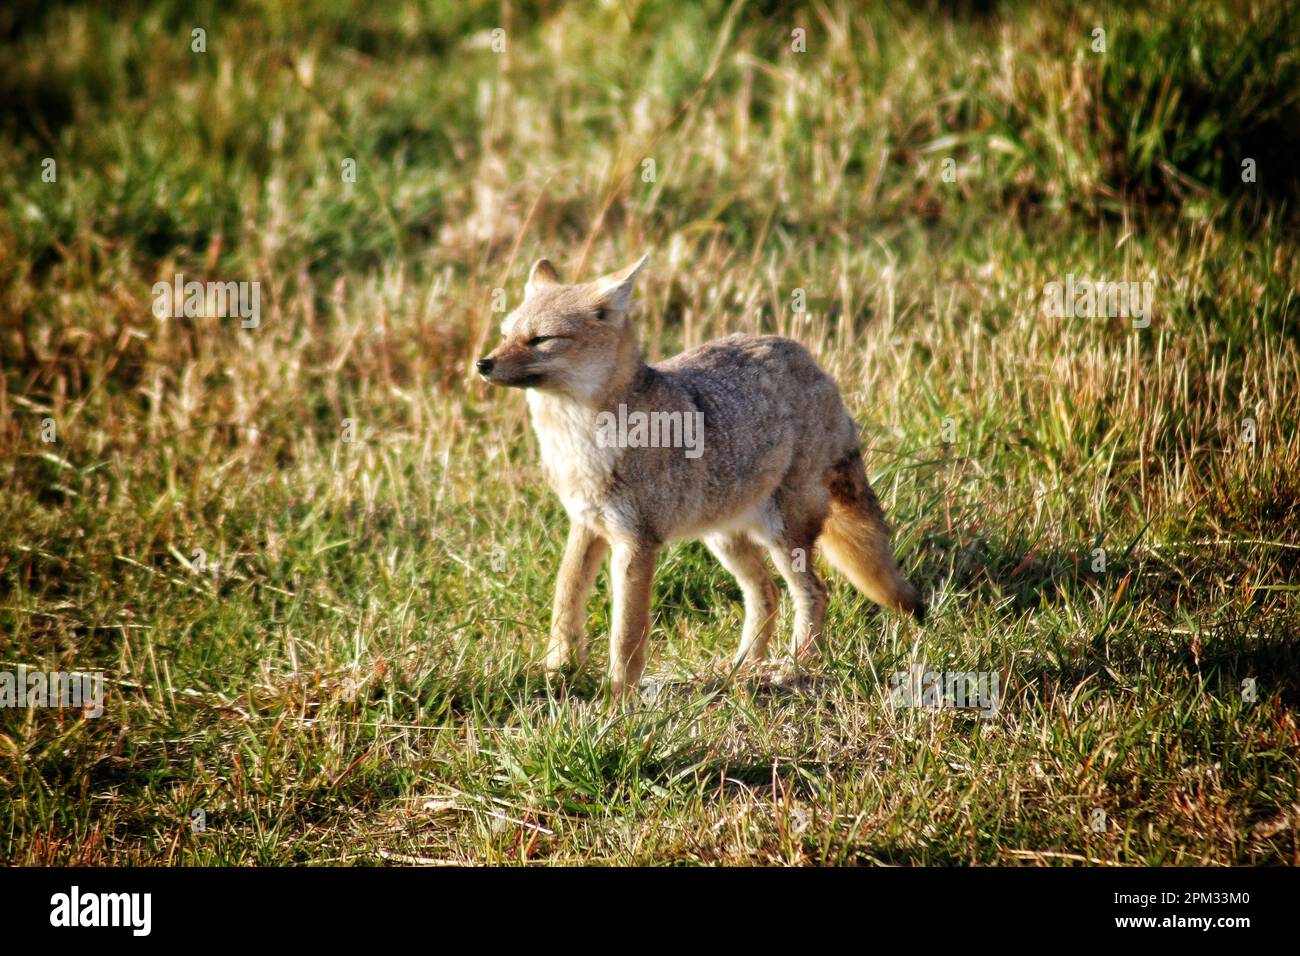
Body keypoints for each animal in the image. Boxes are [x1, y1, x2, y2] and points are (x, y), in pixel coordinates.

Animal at [477, 254, 924, 700]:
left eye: (540, 339)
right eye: (505, 334)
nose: (482, 364)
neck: (577, 441)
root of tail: (806, 358)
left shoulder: (637, 542)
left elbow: (626, 632)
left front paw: (618, 699)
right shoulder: (586, 525)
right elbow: (566, 599)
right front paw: (558, 670)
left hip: (783, 537)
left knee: (814, 593)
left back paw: (794, 668)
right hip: (724, 541)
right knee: (766, 595)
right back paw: (743, 669)